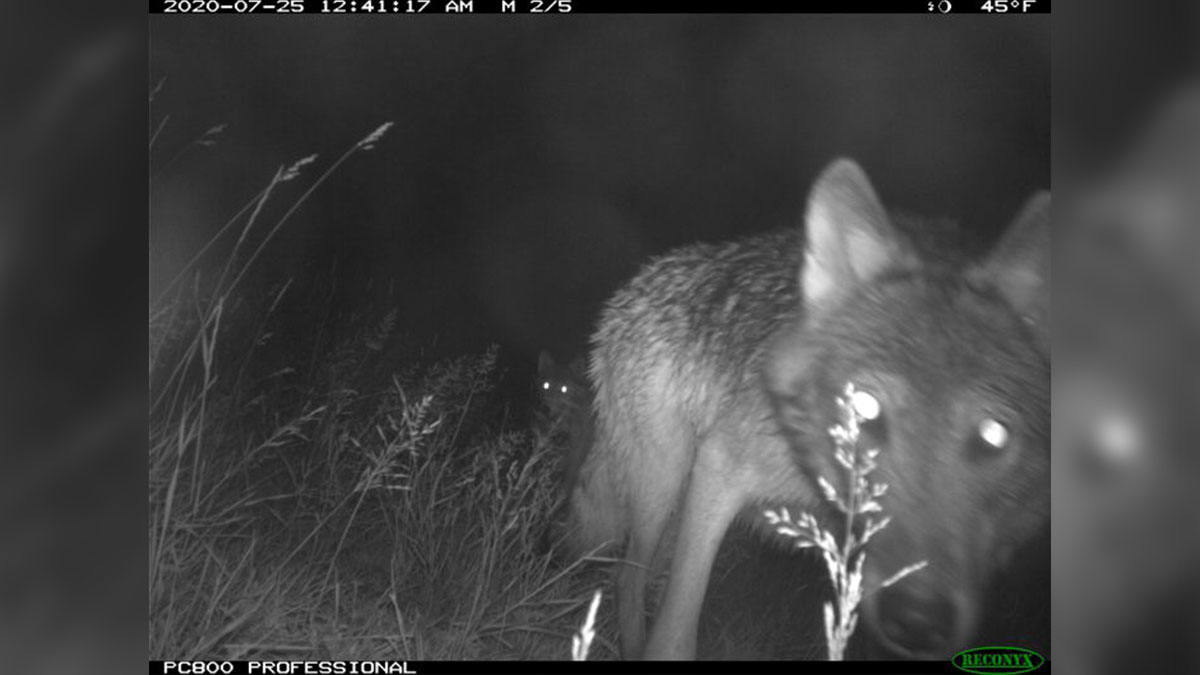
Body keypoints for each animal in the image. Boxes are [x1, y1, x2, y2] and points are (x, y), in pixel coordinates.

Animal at [566, 158, 1051, 660]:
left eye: (994, 435)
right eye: (863, 408)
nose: (918, 622)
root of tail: (635, 286)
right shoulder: (717, 472)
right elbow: (675, 635)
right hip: (663, 485)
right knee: (626, 579)